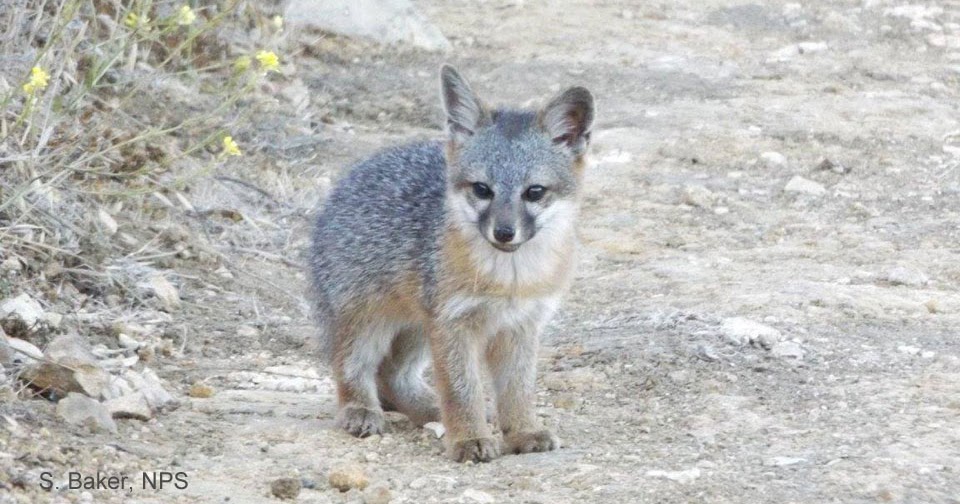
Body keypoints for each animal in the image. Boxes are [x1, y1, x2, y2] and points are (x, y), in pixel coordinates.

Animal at [308, 65, 595, 463]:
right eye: (482, 189)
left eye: (534, 192)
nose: (504, 232)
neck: (510, 281)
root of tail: (356, 171)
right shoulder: (453, 323)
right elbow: (462, 390)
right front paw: (469, 439)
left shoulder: (521, 325)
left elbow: (518, 390)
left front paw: (523, 430)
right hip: (370, 323)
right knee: (353, 366)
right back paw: (361, 409)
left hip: (416, 328)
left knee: (392, 376)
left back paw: (429, 410)